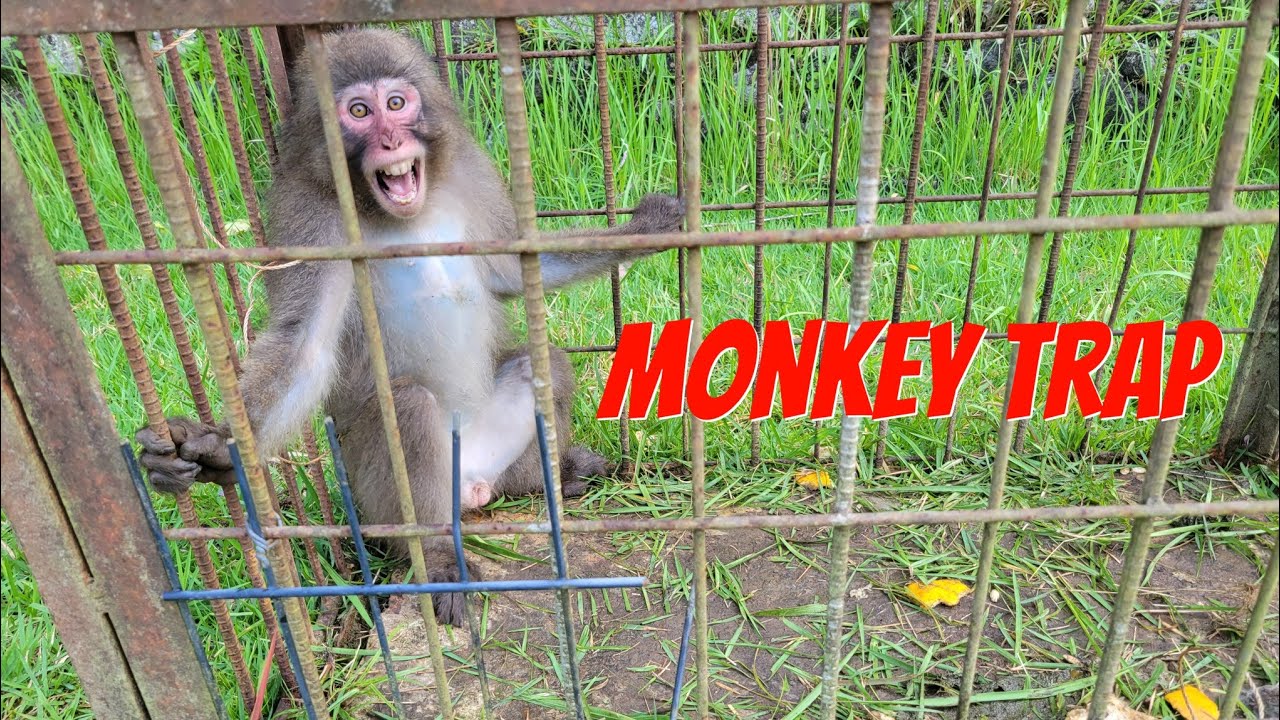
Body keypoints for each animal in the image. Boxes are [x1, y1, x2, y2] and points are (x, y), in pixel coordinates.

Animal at [134, 28, 684, 626]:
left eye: (396, 103)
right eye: (358, 112)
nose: (391, 139)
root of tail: (470, 487)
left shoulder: (471, 173)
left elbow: (511, 271)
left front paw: (643, 231)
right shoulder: (309, 217)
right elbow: (305, 345)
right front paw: (216, 449)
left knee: (543, 366)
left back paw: (544, 477)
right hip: (376, 499)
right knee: (409, 407)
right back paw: (441, 553)